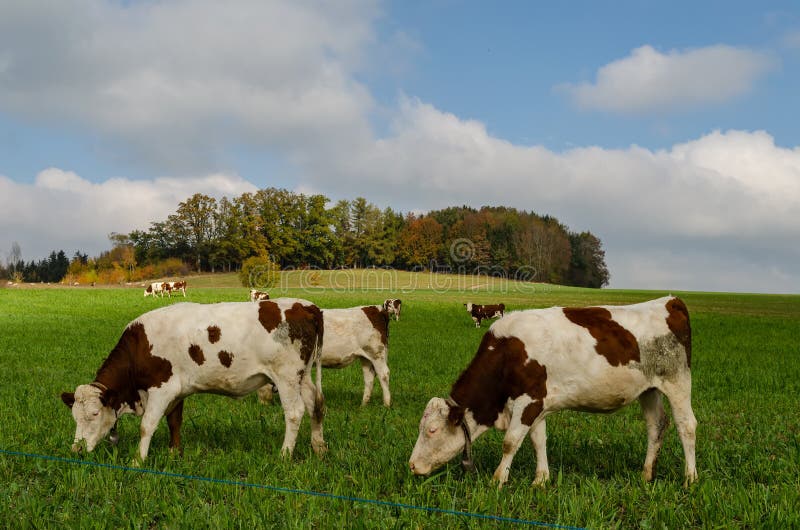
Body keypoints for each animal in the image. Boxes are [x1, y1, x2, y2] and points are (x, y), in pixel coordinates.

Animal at [60, 298, 326, 462]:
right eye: (74, 416)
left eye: (94, 414)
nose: (77, 448)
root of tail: (305, 306)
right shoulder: (178, 390)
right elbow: (174, 422)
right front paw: (174, 453)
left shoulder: (162, 388)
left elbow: (147, 425)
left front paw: (138, 460)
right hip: (302, 376)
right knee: (315, 404)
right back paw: (319, 447)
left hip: (287, 377)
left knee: (295, 412)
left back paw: (285, 454)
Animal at [258, 305, 391, 407]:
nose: (262, 404)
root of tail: (375, 308)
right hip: (366, 357)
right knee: (369, 378)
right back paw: (363, 404)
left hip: (377, 353)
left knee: (383, 374)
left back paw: (387, 404)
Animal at [410, 296, 697, 487]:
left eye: (432, 430)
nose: (412, 465)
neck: (506, 354)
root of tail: (670, 301)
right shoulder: (538, 404)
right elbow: (538, 440)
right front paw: (541, 480)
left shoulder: (529, 401)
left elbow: (510, 441)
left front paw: (498, 479)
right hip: (649, 389)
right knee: (656, 425)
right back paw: (646, 474)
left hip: (678, 381)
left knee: (687, 425)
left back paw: (690, 478)